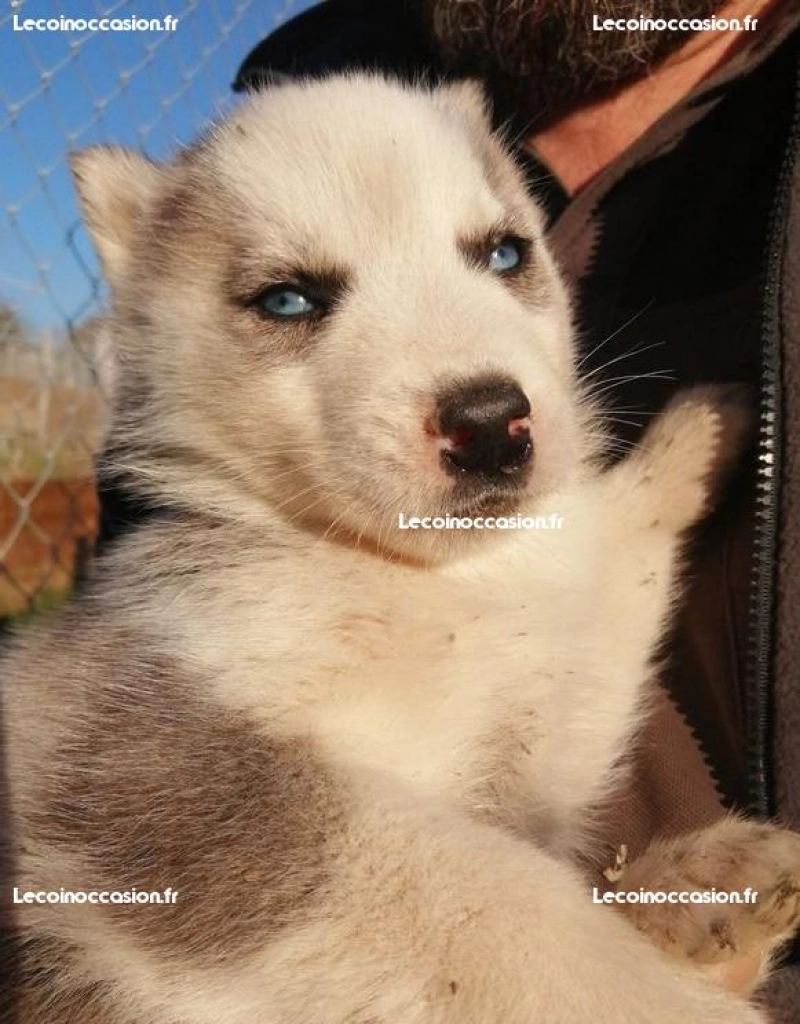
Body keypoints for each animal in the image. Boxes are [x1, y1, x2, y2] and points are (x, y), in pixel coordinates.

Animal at [3, 74, 800, 1023]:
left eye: (504, 253)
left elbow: (603, 583)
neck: (419, 585)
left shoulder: (538, 732)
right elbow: (515, 912)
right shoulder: (173, 776)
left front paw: (690, 445)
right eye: (288, 299)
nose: (492, 424)